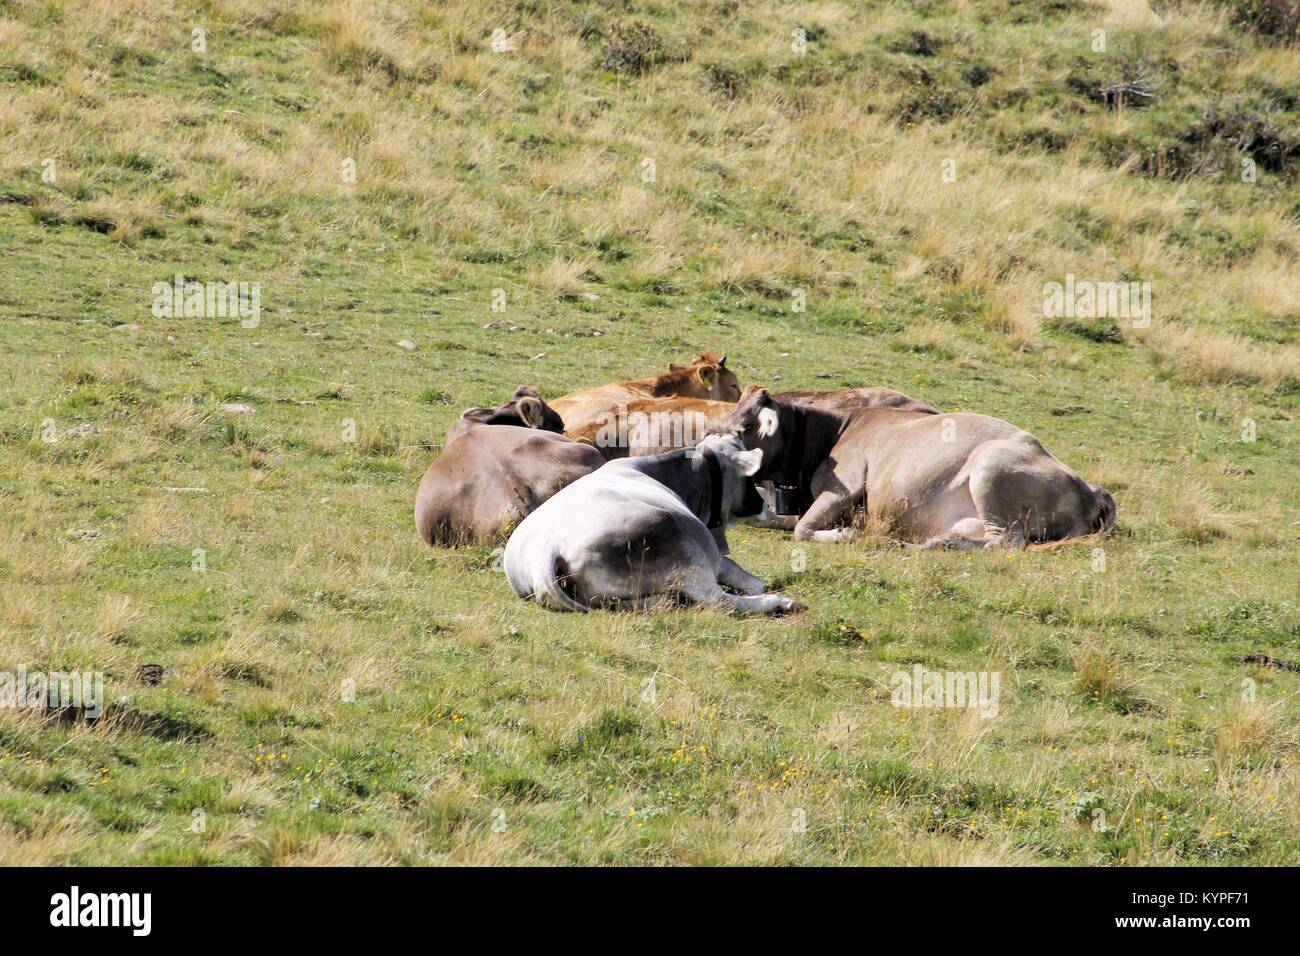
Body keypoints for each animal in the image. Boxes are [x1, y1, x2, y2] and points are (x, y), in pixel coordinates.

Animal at [503, 433, 804, 615]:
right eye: (750, 477)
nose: (765, 505)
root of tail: (551, 547)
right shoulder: (712, 554)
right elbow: (737, 570)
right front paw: (758, 586)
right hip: (682, 549)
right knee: (718, 601)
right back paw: (781, 603)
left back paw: (666, 600)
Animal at [722, 386, 1116, 548]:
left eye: (745, 426)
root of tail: (1090, 488)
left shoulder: (843, 486)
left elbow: (802, 530)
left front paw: (846, 535)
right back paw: (937, 542)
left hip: (989, 470)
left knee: (1006, 542)